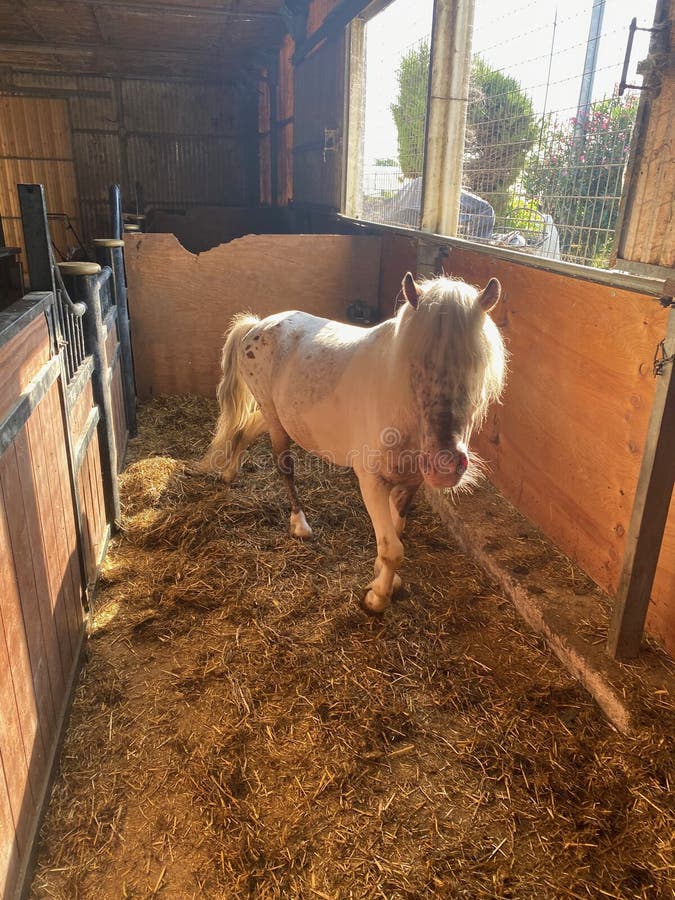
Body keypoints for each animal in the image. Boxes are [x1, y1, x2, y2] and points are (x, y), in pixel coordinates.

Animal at [197, 272, 507, 613]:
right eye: (413, 364)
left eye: (479, 367)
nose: (446, 466)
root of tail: (257, 325)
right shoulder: (371, 481)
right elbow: (392, 548)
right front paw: (377, 598)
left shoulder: (411, 481)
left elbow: (395, 531)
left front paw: (383, 577)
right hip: (274, 418)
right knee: (284, 467)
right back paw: (299, 525)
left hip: (278, 415)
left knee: (244, 431)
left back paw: (228, 473)